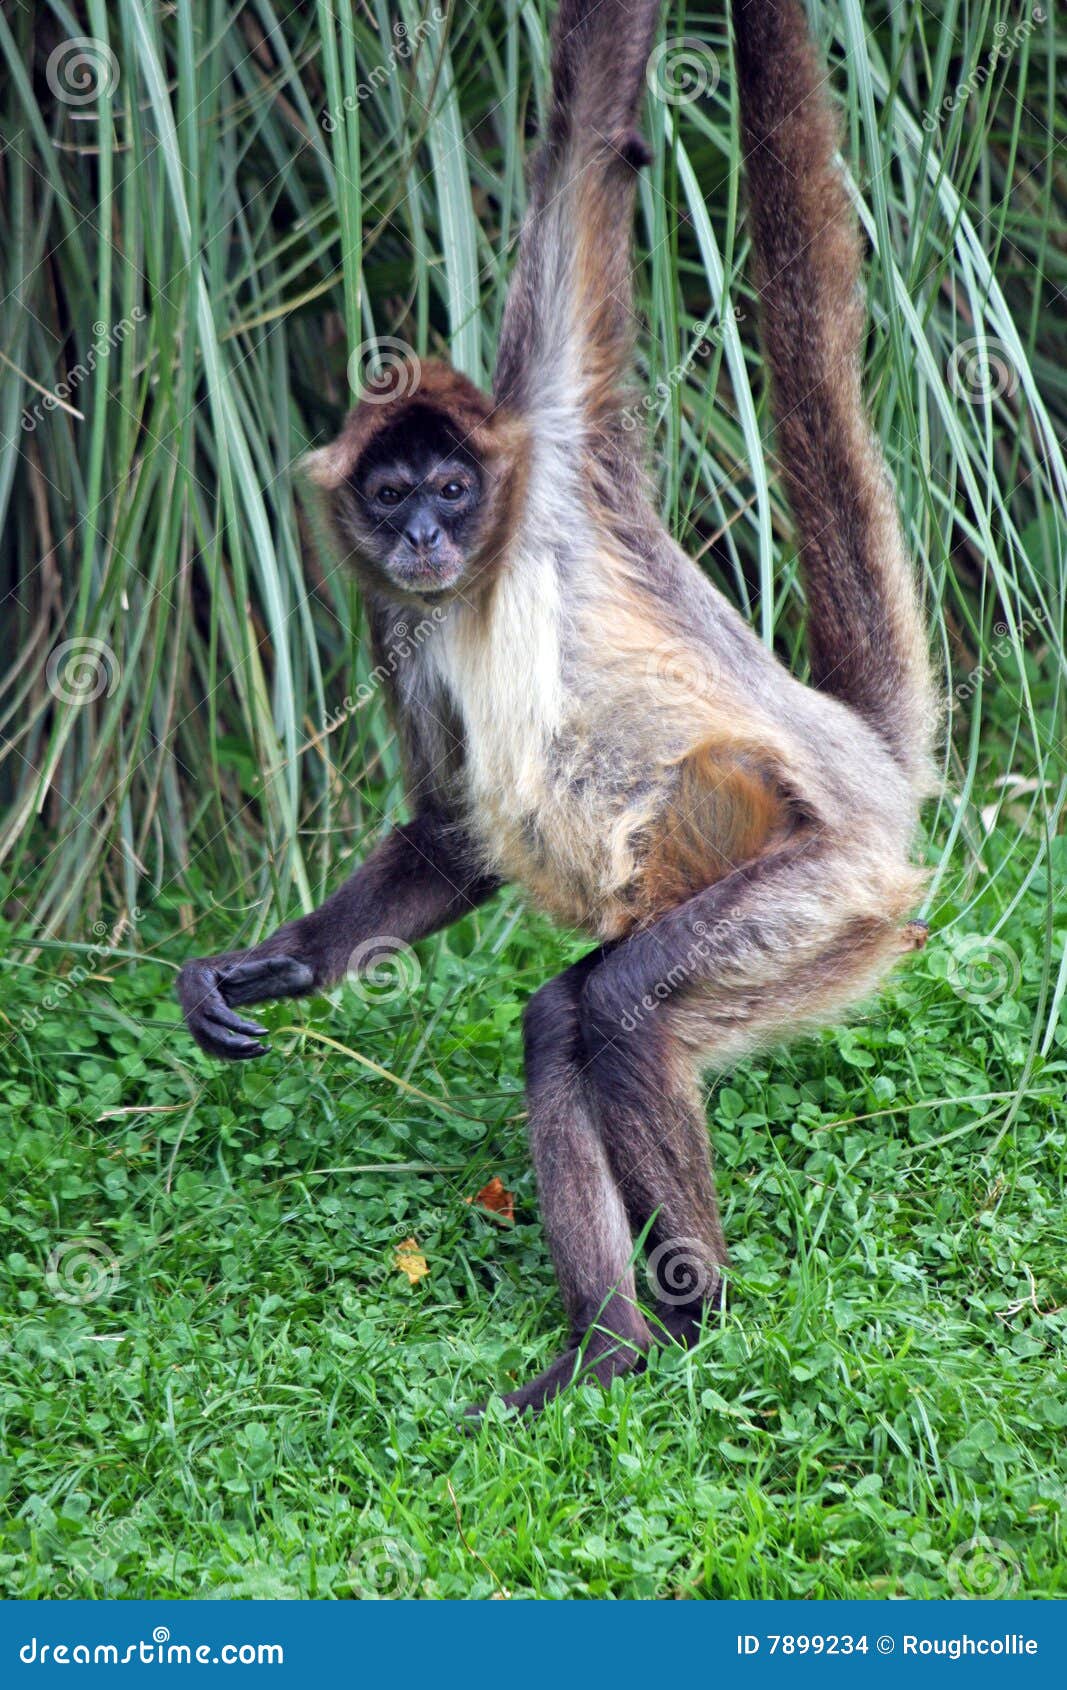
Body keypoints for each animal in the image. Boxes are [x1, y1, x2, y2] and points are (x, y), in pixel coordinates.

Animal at [177, 0, 936, 1415]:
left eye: (452, 489)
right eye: (389, 497)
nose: (423, 534)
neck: (482, 575)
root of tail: (860, 758)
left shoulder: (554, 423)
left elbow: (589, 125)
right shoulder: (397, 615)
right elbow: (447, 832)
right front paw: (272, 964)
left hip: (830, 886)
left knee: (626, 1007)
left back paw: (692, 1324)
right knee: (561, 1020)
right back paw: (608, 1341)